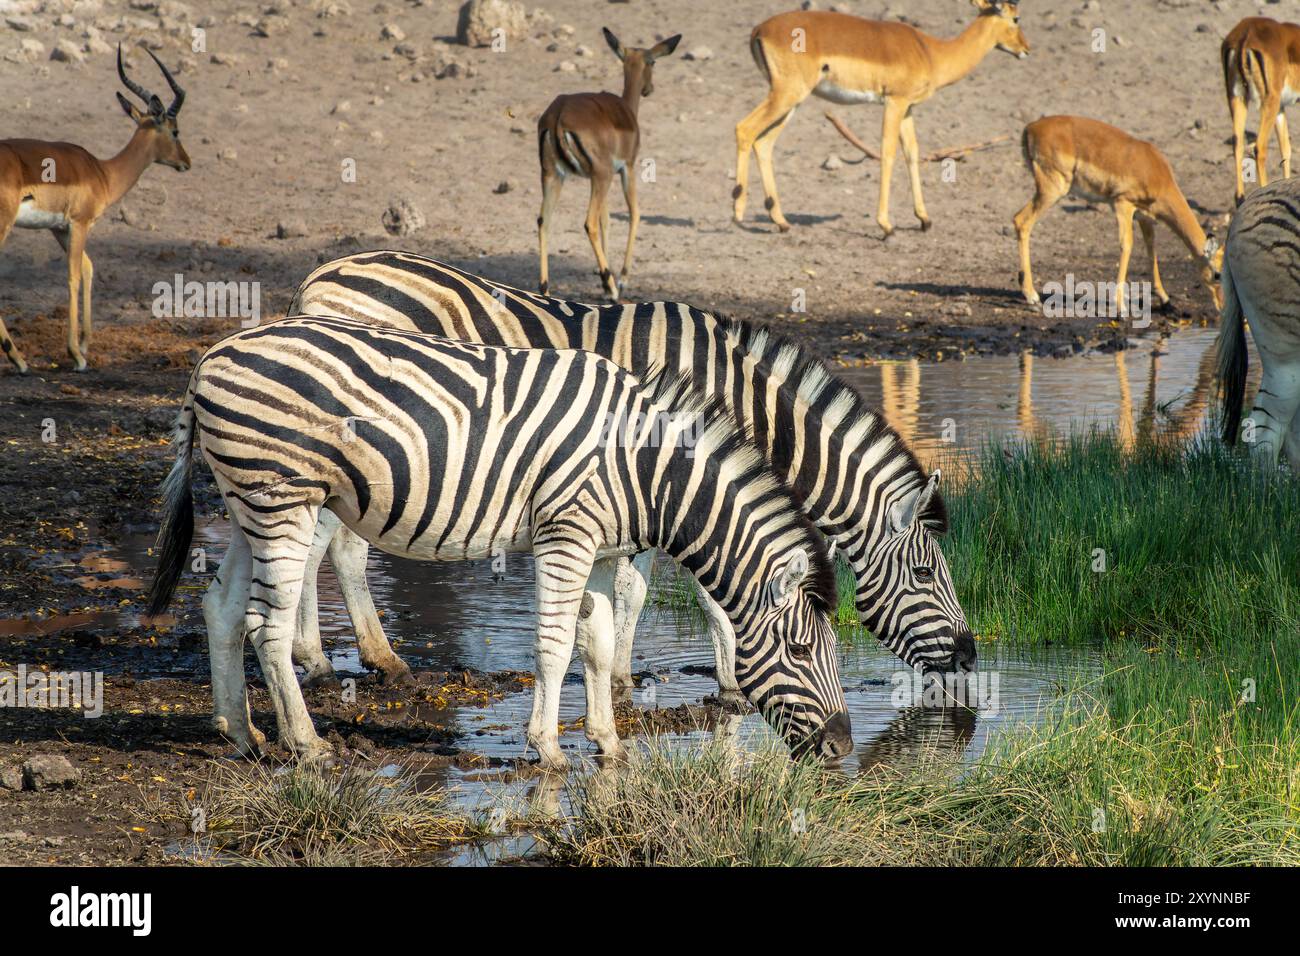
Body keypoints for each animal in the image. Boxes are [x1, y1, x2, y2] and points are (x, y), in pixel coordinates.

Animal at [146, 316, 851, 767]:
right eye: (797, 650)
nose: (844, 747)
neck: (646, 467)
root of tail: (211, 357)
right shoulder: (566, 535)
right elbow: (555, 646)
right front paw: (549, 748)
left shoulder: (599, 550)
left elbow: (597, 648)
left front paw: (608, 742)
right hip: (284, 500)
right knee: (267, 623)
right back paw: (307, 746)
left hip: (254, 503)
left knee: (222, 606)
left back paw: (239, 733)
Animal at [288, 251, 976, 702]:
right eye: (925, 574)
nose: (970, 657)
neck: (734, 392)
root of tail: (320, 276)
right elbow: (687, 590)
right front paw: (728, 679)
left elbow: (638, 587)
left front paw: (621, 673)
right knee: (330, 549)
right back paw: (350, 660)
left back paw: (332, 658)